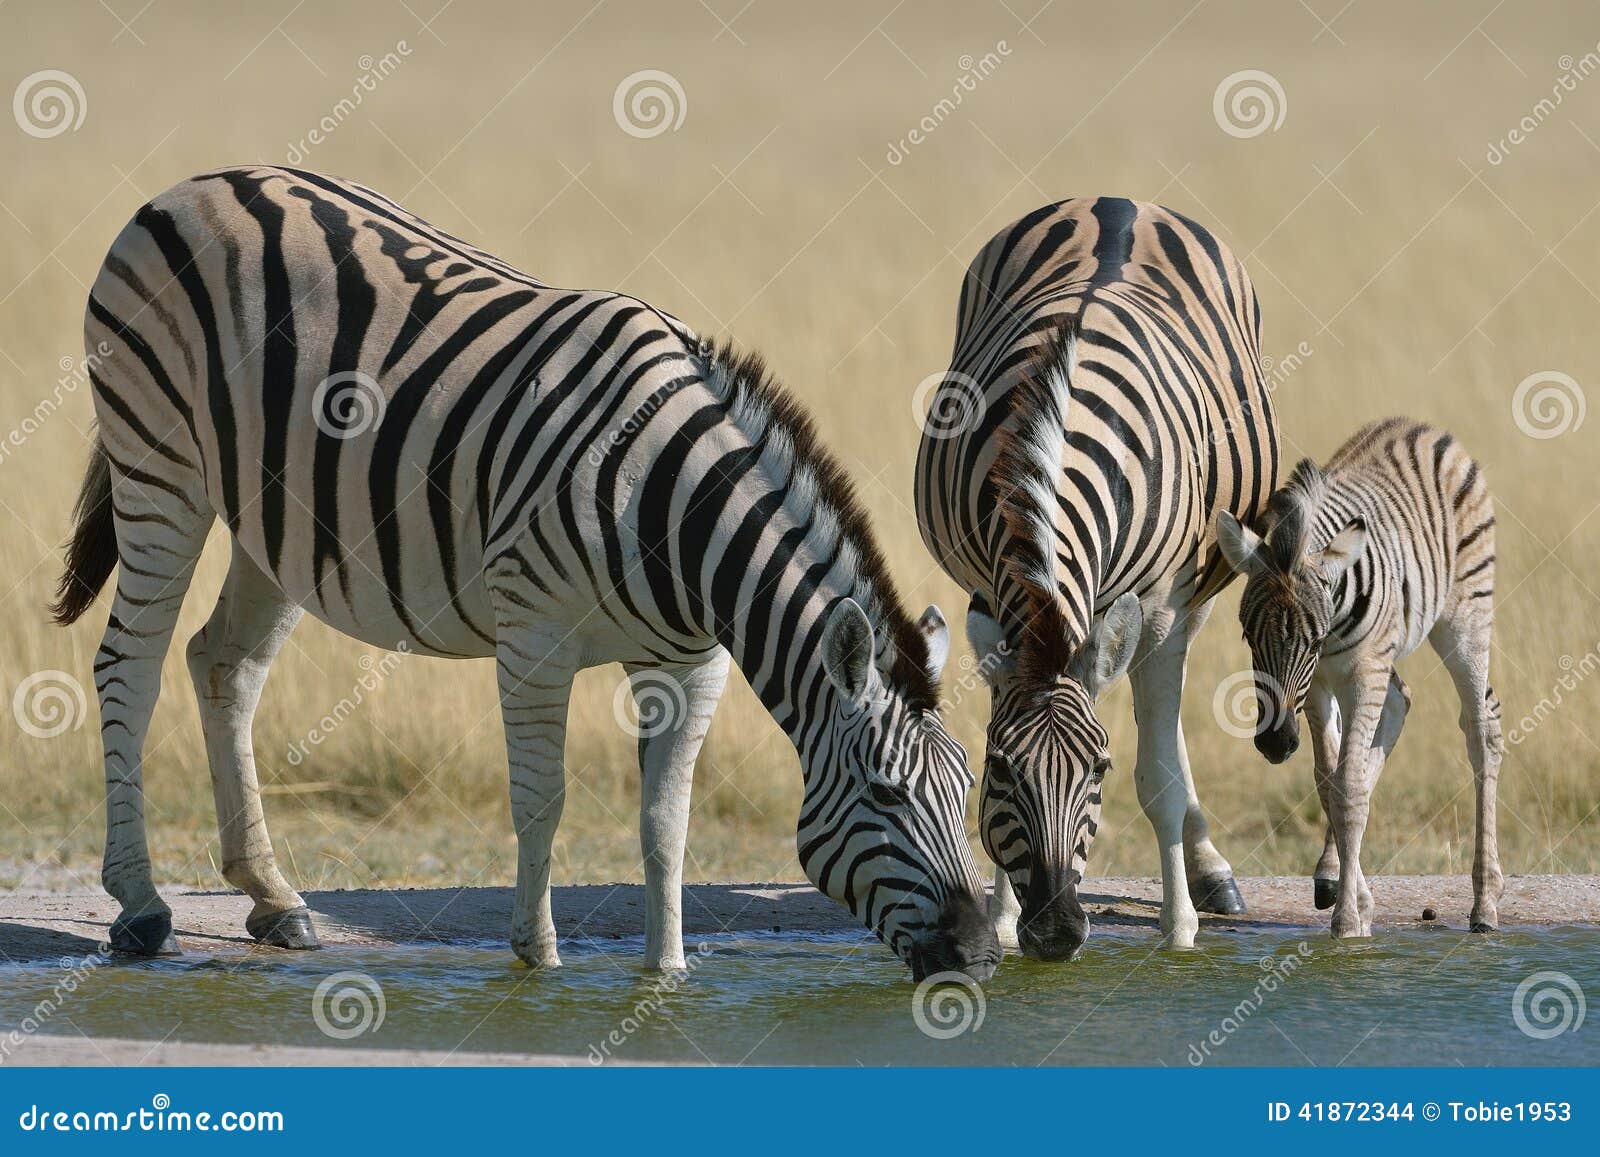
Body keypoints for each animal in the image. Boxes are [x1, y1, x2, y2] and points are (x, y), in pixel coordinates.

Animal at [52, 165, 999, 980]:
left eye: (966, 790)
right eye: (885, 795)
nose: (983, 952)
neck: (672, 516)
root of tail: (196, 183)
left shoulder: (691, 664)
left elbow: (667, 819)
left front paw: (666, 973)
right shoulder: (535, 632)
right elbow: (543, 798)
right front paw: (537, 962)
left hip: (273, 519)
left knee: (224, 666)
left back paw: (273, 897)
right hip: (159, 463)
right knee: (128, 665)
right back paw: (140, 907)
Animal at [915, 197, 1279, 957]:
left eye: (1099, 769)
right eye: (999, 769)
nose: (1056, 932)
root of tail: (1119, 202)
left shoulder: (1164, 603)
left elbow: (1158, 775)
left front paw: (1179, 928)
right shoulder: (989, 591)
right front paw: (1000, 920)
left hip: (1197, 587)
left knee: (1168, 726)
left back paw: (1210, 873)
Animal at [1215, 419, 1502, 938]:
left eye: (1312, 640)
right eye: (1246, 634)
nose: (1275, 744)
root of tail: (1421, 428)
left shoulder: (1359, 671)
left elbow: (1346, 788)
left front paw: (1348, 921)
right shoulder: (1317, 687)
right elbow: (1329, 782)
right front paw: (1358, 900)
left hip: (1466, 617)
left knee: (1482, 728)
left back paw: (1485, 903)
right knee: (1400, 703)